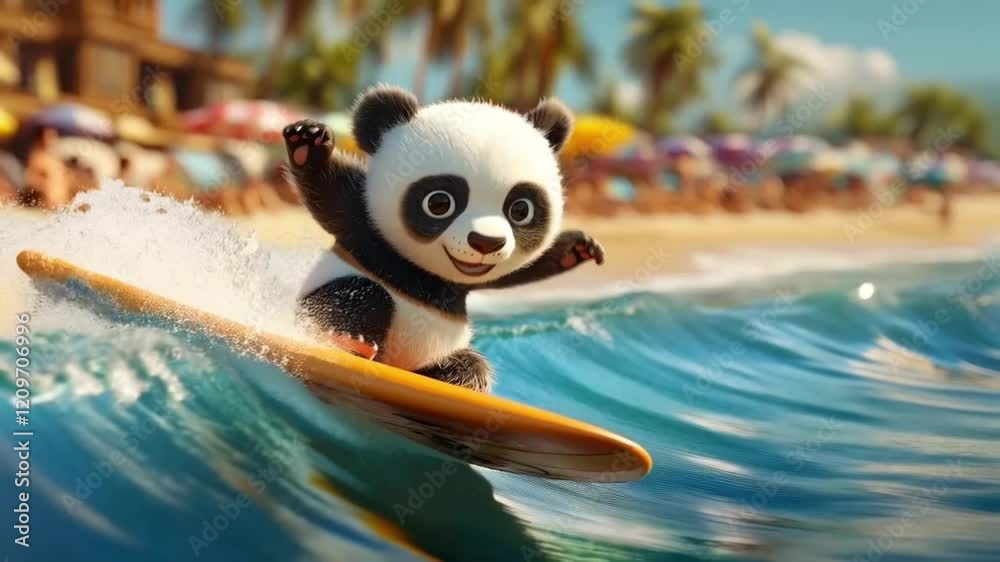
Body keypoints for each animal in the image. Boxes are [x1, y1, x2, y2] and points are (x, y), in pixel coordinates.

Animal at [283, 85, 605, 392]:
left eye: (520, 210)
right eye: (439, 203)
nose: (486, 243)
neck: (426, 274)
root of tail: (396, 365)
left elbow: (517, 273)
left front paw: (578, 248)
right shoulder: (365, 226)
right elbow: (331, 198)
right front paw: (307, 146)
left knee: (471, 367)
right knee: (361, 293)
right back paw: (349, 342)